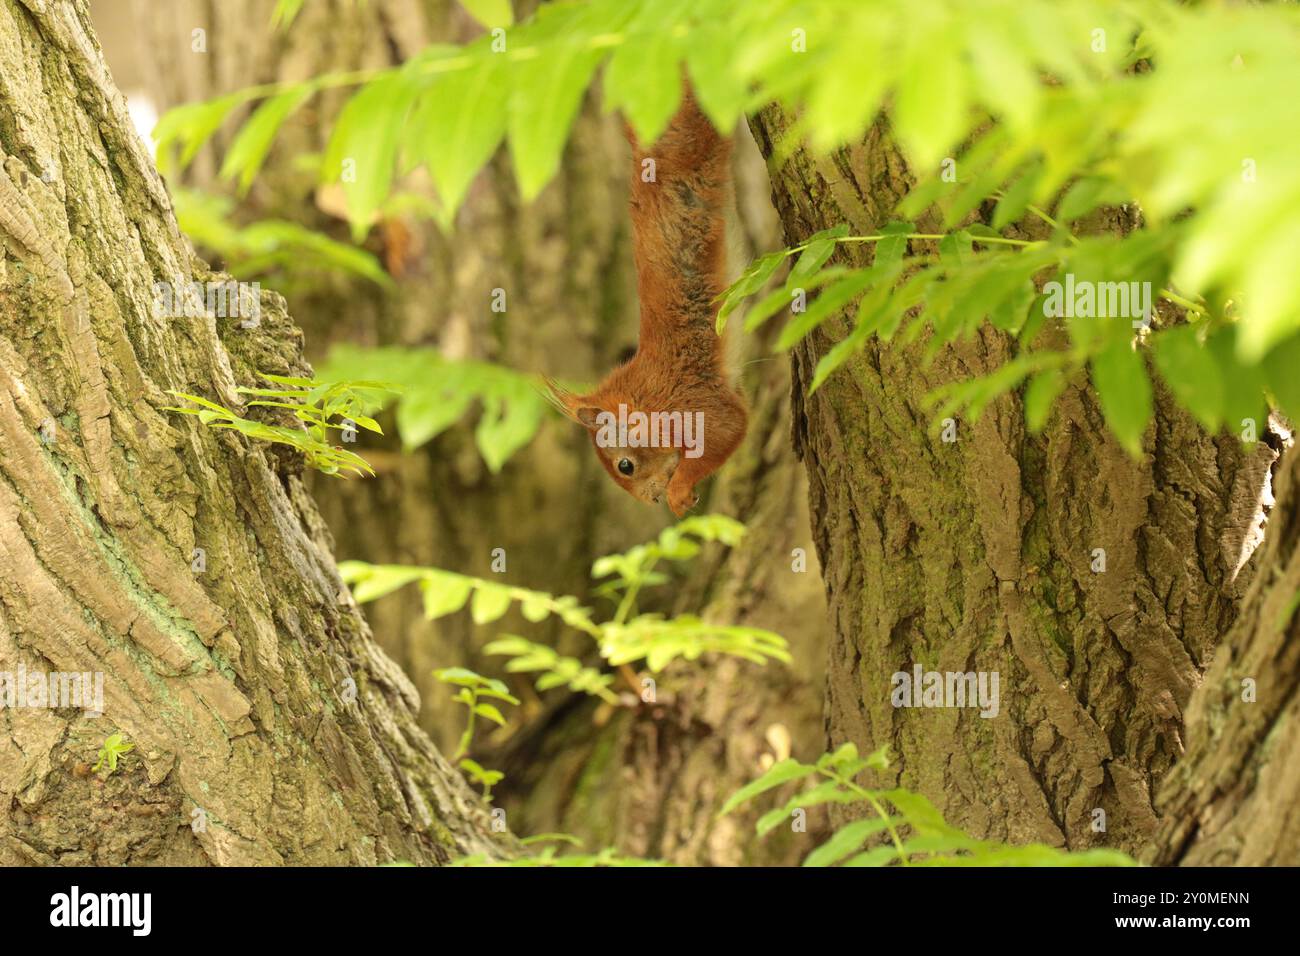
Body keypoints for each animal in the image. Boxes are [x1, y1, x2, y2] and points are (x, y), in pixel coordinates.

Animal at [548, 88, 747, 517]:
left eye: (625, 465)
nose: (652, 500)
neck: (650, 398)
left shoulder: (695, 406)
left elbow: (728, 431)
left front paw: (679, 490)